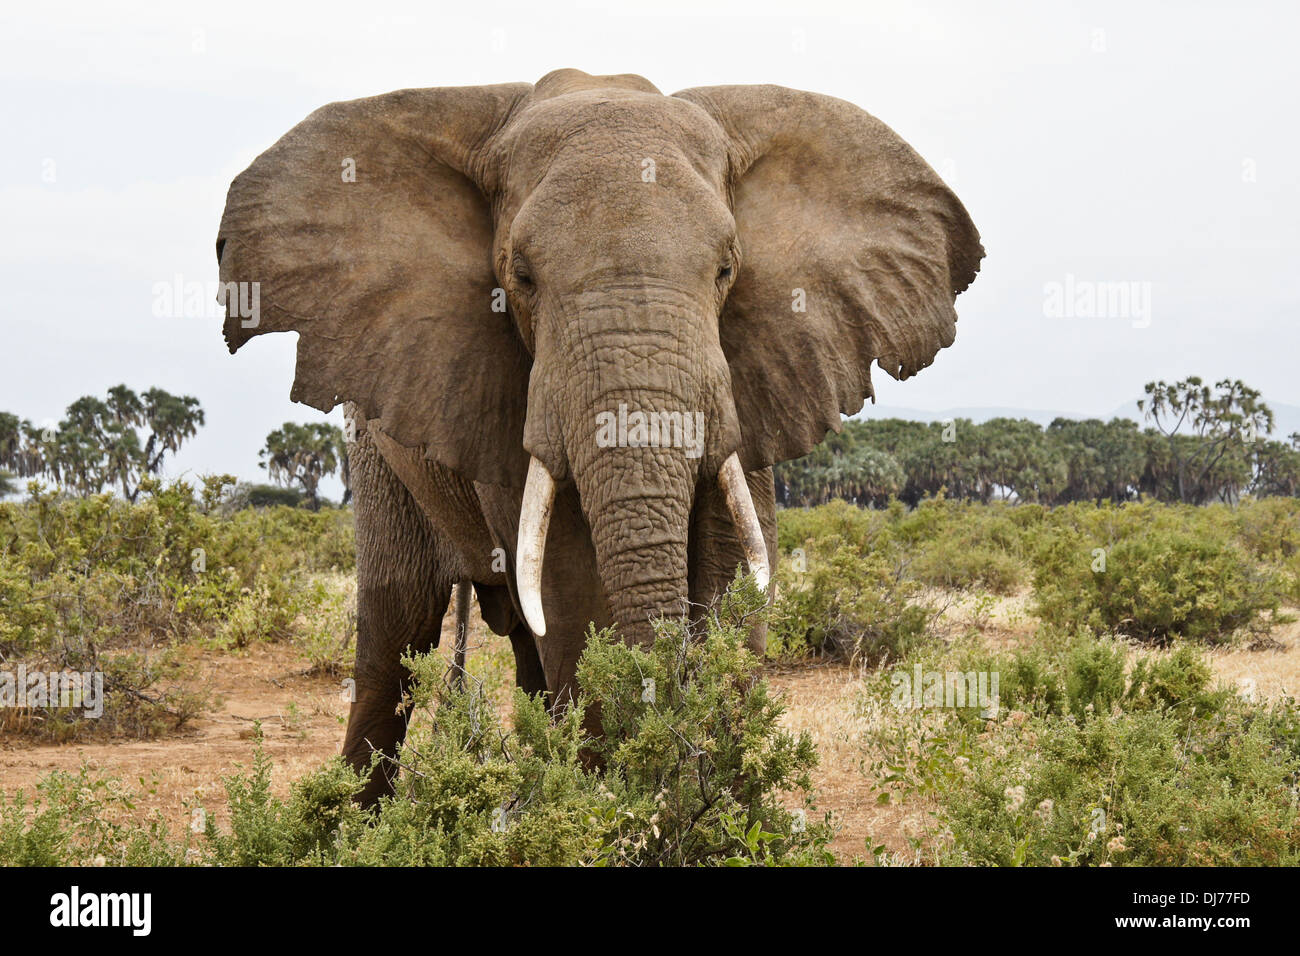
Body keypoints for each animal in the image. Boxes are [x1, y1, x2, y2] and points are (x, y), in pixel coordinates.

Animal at [214, 68, 983, 805]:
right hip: (375, 442)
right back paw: (356, 821)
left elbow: (734, 567)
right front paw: (619, 811)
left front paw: (717, 815)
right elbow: (571, 587)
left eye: (727, 269)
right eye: (520, 277)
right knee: (394, 636)